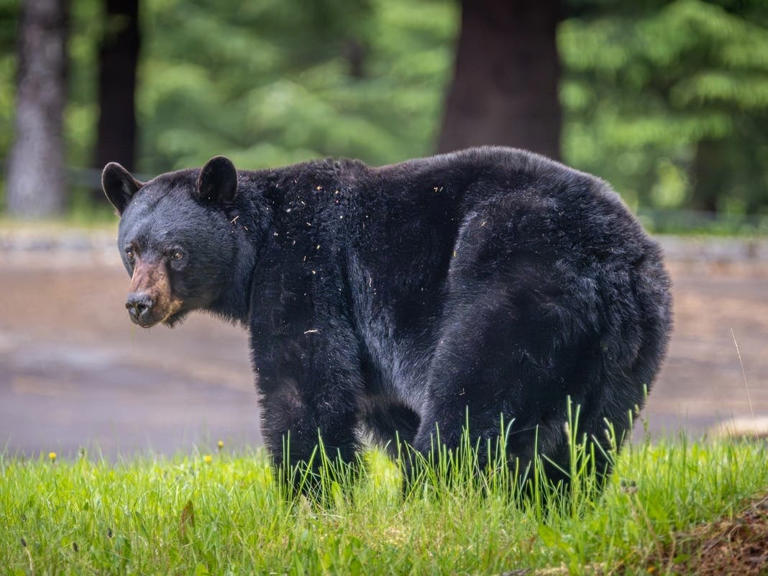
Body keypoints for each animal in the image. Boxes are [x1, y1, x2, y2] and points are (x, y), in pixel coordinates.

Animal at [102, 147, 672, 488]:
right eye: (132, 250)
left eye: (175, 253)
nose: (139, 304)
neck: (258, 243)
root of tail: (609, 260)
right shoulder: (369, 341)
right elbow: (382, 404)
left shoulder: (306, 267)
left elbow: (304, 383)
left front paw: (313, 496)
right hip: (632, 346)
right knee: (589, 438)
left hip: (514, 288)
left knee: (468, 405)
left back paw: (430, 499)